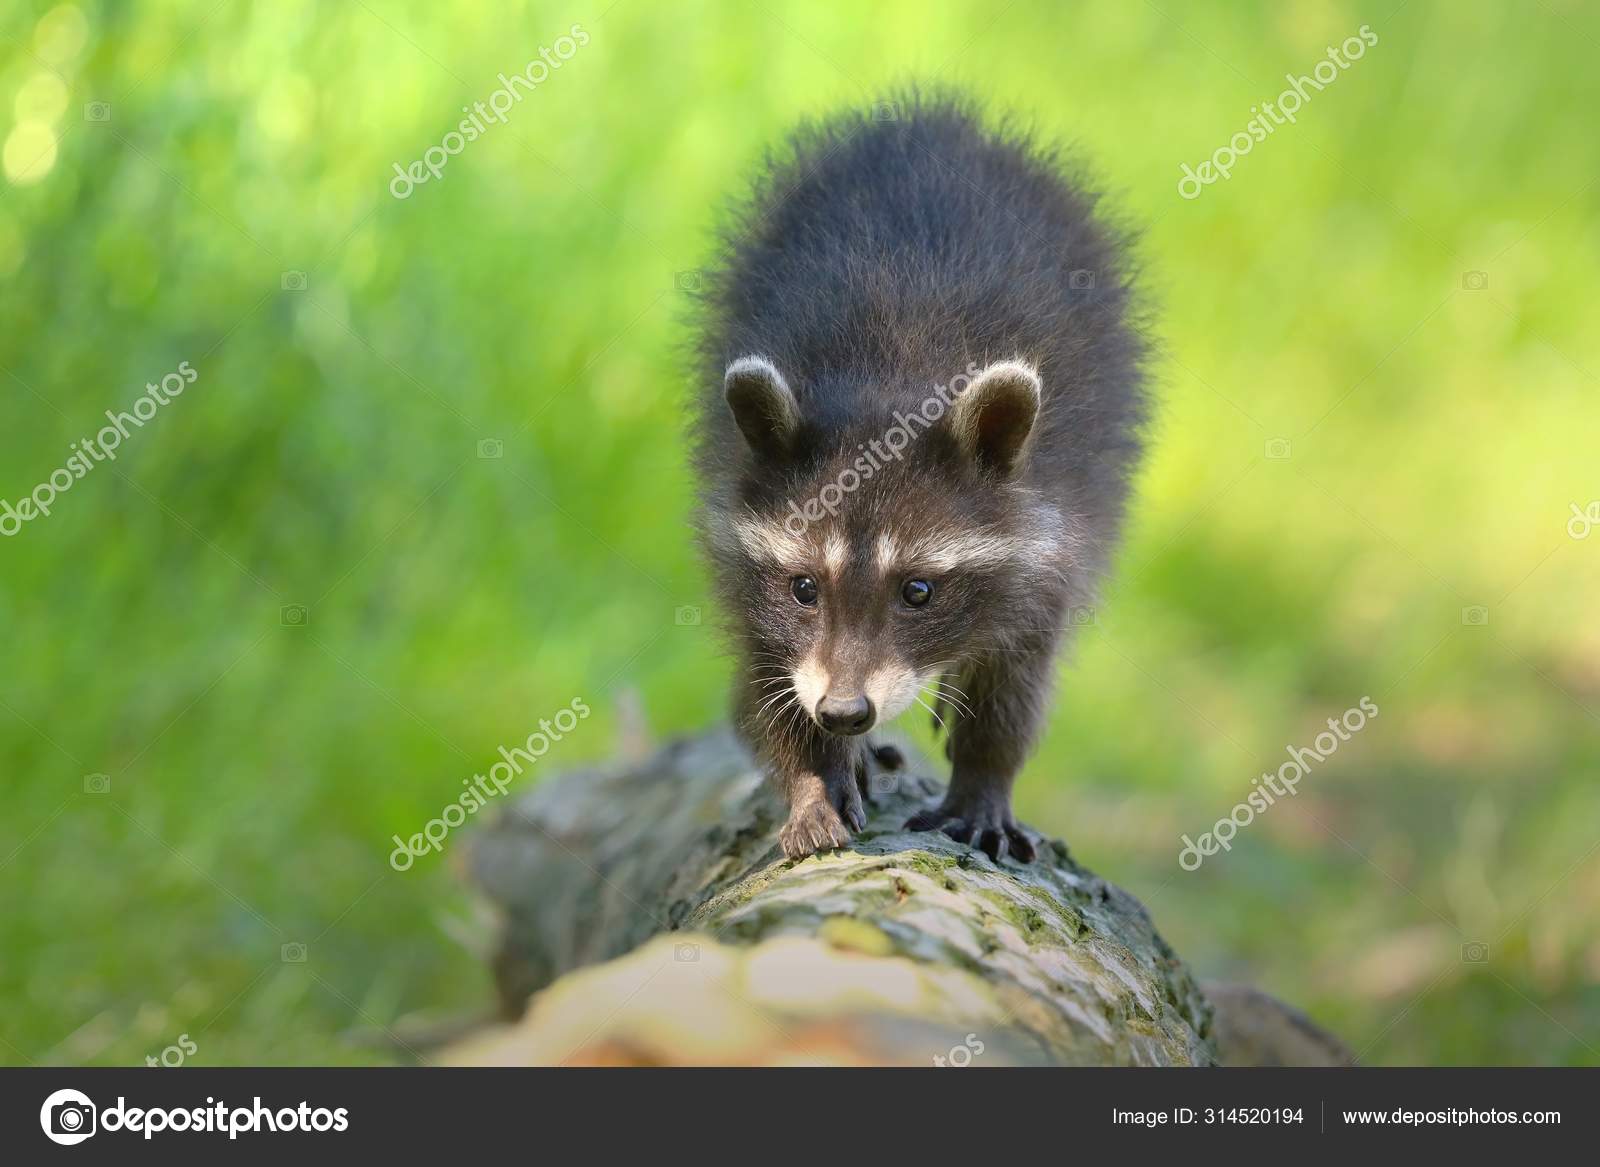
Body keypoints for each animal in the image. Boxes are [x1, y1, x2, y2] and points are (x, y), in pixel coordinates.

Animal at [693, 93, 1148, 862]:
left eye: (918, 590)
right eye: (804, 587)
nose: (846, 711)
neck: (892, 386)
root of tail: (939, 121)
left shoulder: (1053, 528)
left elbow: (1015, 681)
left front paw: (984, 775)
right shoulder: (742, 544)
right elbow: (770, 679)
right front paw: (812, 775)